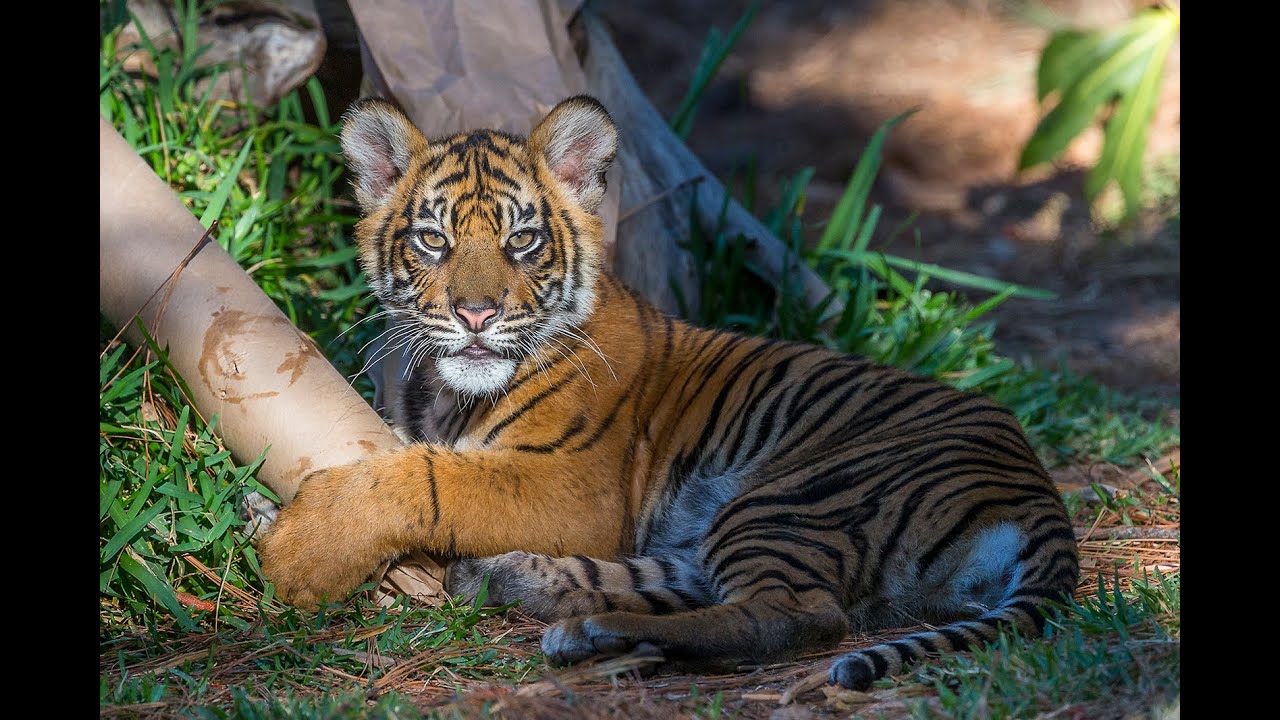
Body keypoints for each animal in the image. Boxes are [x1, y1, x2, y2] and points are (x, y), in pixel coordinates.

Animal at [257, 94, 1080, 691]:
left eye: (523, 240)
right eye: (433, 240)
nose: (476, 314)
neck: (446, 392)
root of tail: (1036, 488)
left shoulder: (572, 490)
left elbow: (427, 476)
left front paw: (300, 553)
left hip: (795, 494)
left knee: (796, 615)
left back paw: (578, 623)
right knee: (695, 587)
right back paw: (527, 589)